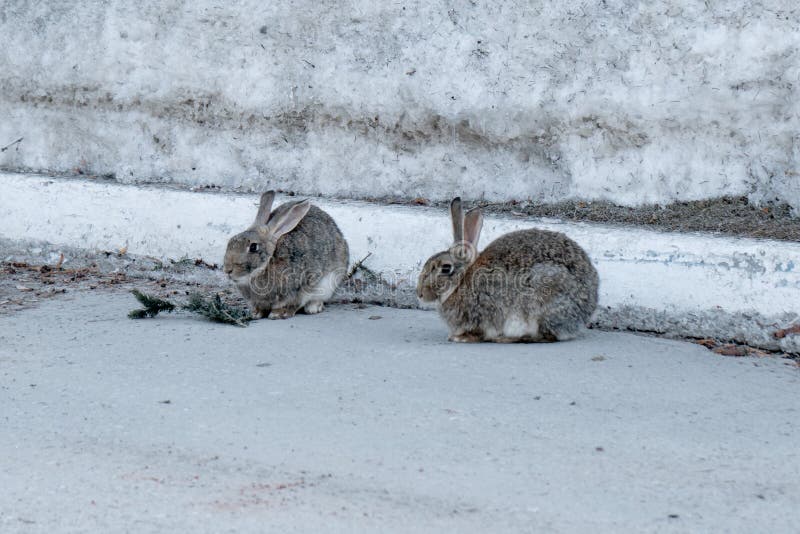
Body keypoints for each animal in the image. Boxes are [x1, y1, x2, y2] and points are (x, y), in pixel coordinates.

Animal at [224, 191, 349, 319]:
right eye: (230, 242)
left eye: (253, 247)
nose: (228, 270)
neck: (267, 264)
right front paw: (256, 314)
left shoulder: (300, 288)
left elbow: (292, 303)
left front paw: (278, 314)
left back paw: (313, 308)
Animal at [417, 197, 598, 342]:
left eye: (446, 268)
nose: (419, 293)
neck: (461, 280)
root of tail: (588, 307)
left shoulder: (482, 313)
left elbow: (479, 332)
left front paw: (459, 338)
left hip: (543, 299)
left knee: (546, 336)